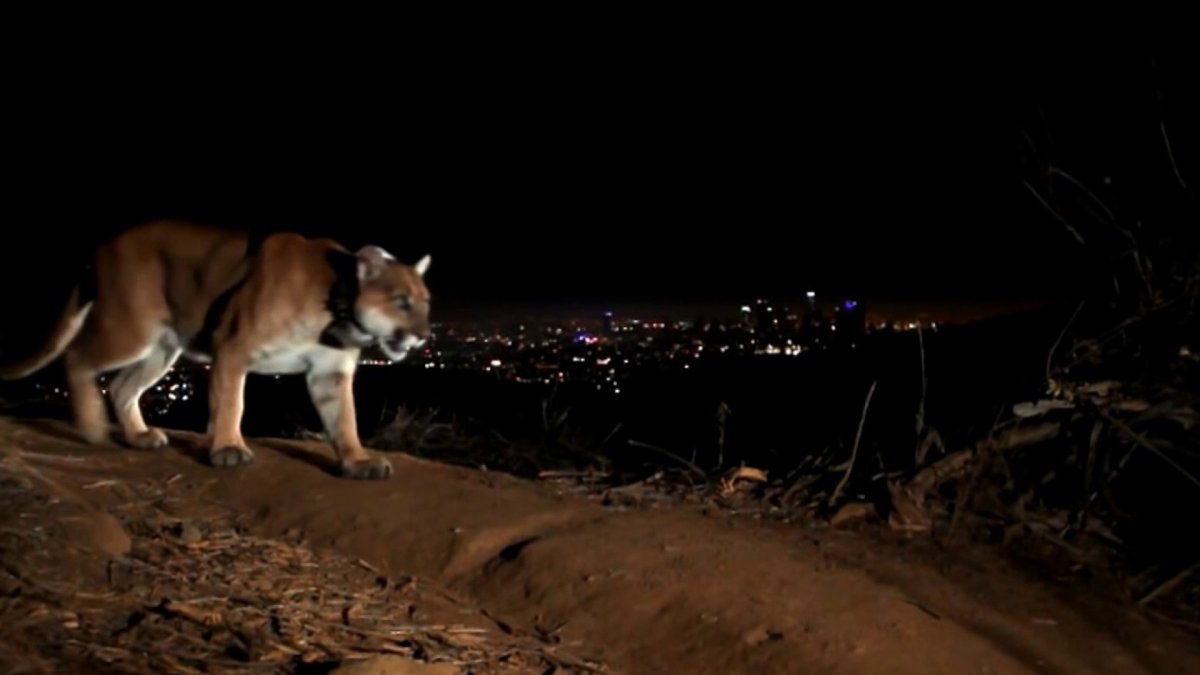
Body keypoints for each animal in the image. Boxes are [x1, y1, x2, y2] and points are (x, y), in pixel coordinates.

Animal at [0, 219, 432, 479]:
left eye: (426, 303)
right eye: (402, 302)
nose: (425, 335)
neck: (336, 304)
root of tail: (103, 245)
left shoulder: (330, 372)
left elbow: (344, 419)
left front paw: (358, 460)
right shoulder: (233, 346)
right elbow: (231, 403)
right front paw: (227, 448)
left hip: (162, 348)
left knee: (122, 387)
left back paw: (140, 437)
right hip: (130, 328)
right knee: (77, 357)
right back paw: (91, 426)